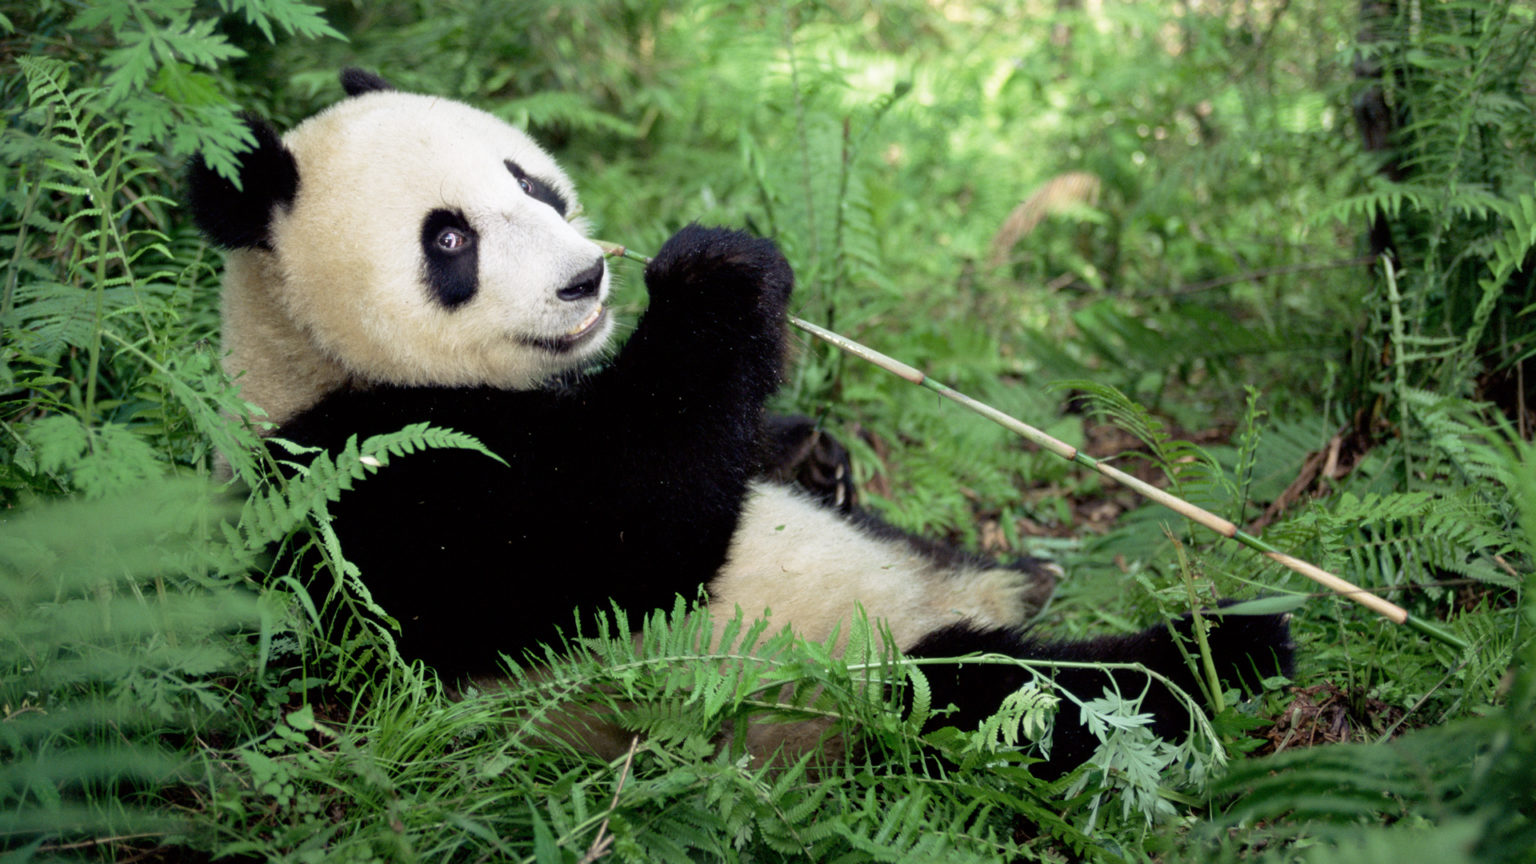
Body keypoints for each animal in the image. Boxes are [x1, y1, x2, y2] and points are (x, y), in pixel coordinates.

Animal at [188, 69, 1293, 776]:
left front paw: (811, 450)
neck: (306, 355)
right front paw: (718, 276)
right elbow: (621, 533)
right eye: (449, 239)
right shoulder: (364, 486)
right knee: (1022, 697)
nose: (586, 279)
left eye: (532, 182)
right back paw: (1227, 651)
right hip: (843, 687)